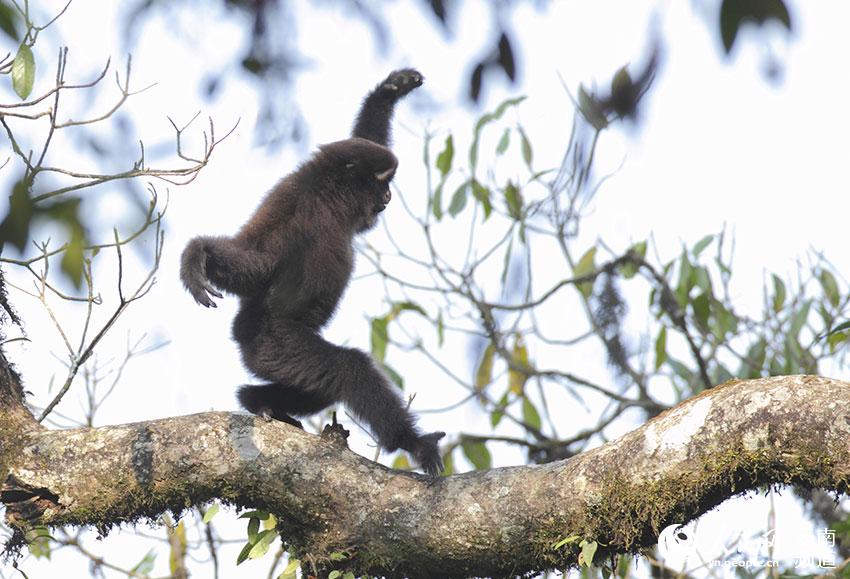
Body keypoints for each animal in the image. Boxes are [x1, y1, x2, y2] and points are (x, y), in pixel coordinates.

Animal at [180, 69, 445, 476]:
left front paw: (389, 91)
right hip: (277, 344)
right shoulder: (298, 202)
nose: (387, 198)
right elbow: (257, 259)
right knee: (347, 368)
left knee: (320, 387)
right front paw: (200, 254)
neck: (326, 193)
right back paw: (409, 440)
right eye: (383, 184)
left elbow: (256, 261)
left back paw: (257, 400)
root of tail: (245, 334)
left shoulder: (294, 192)